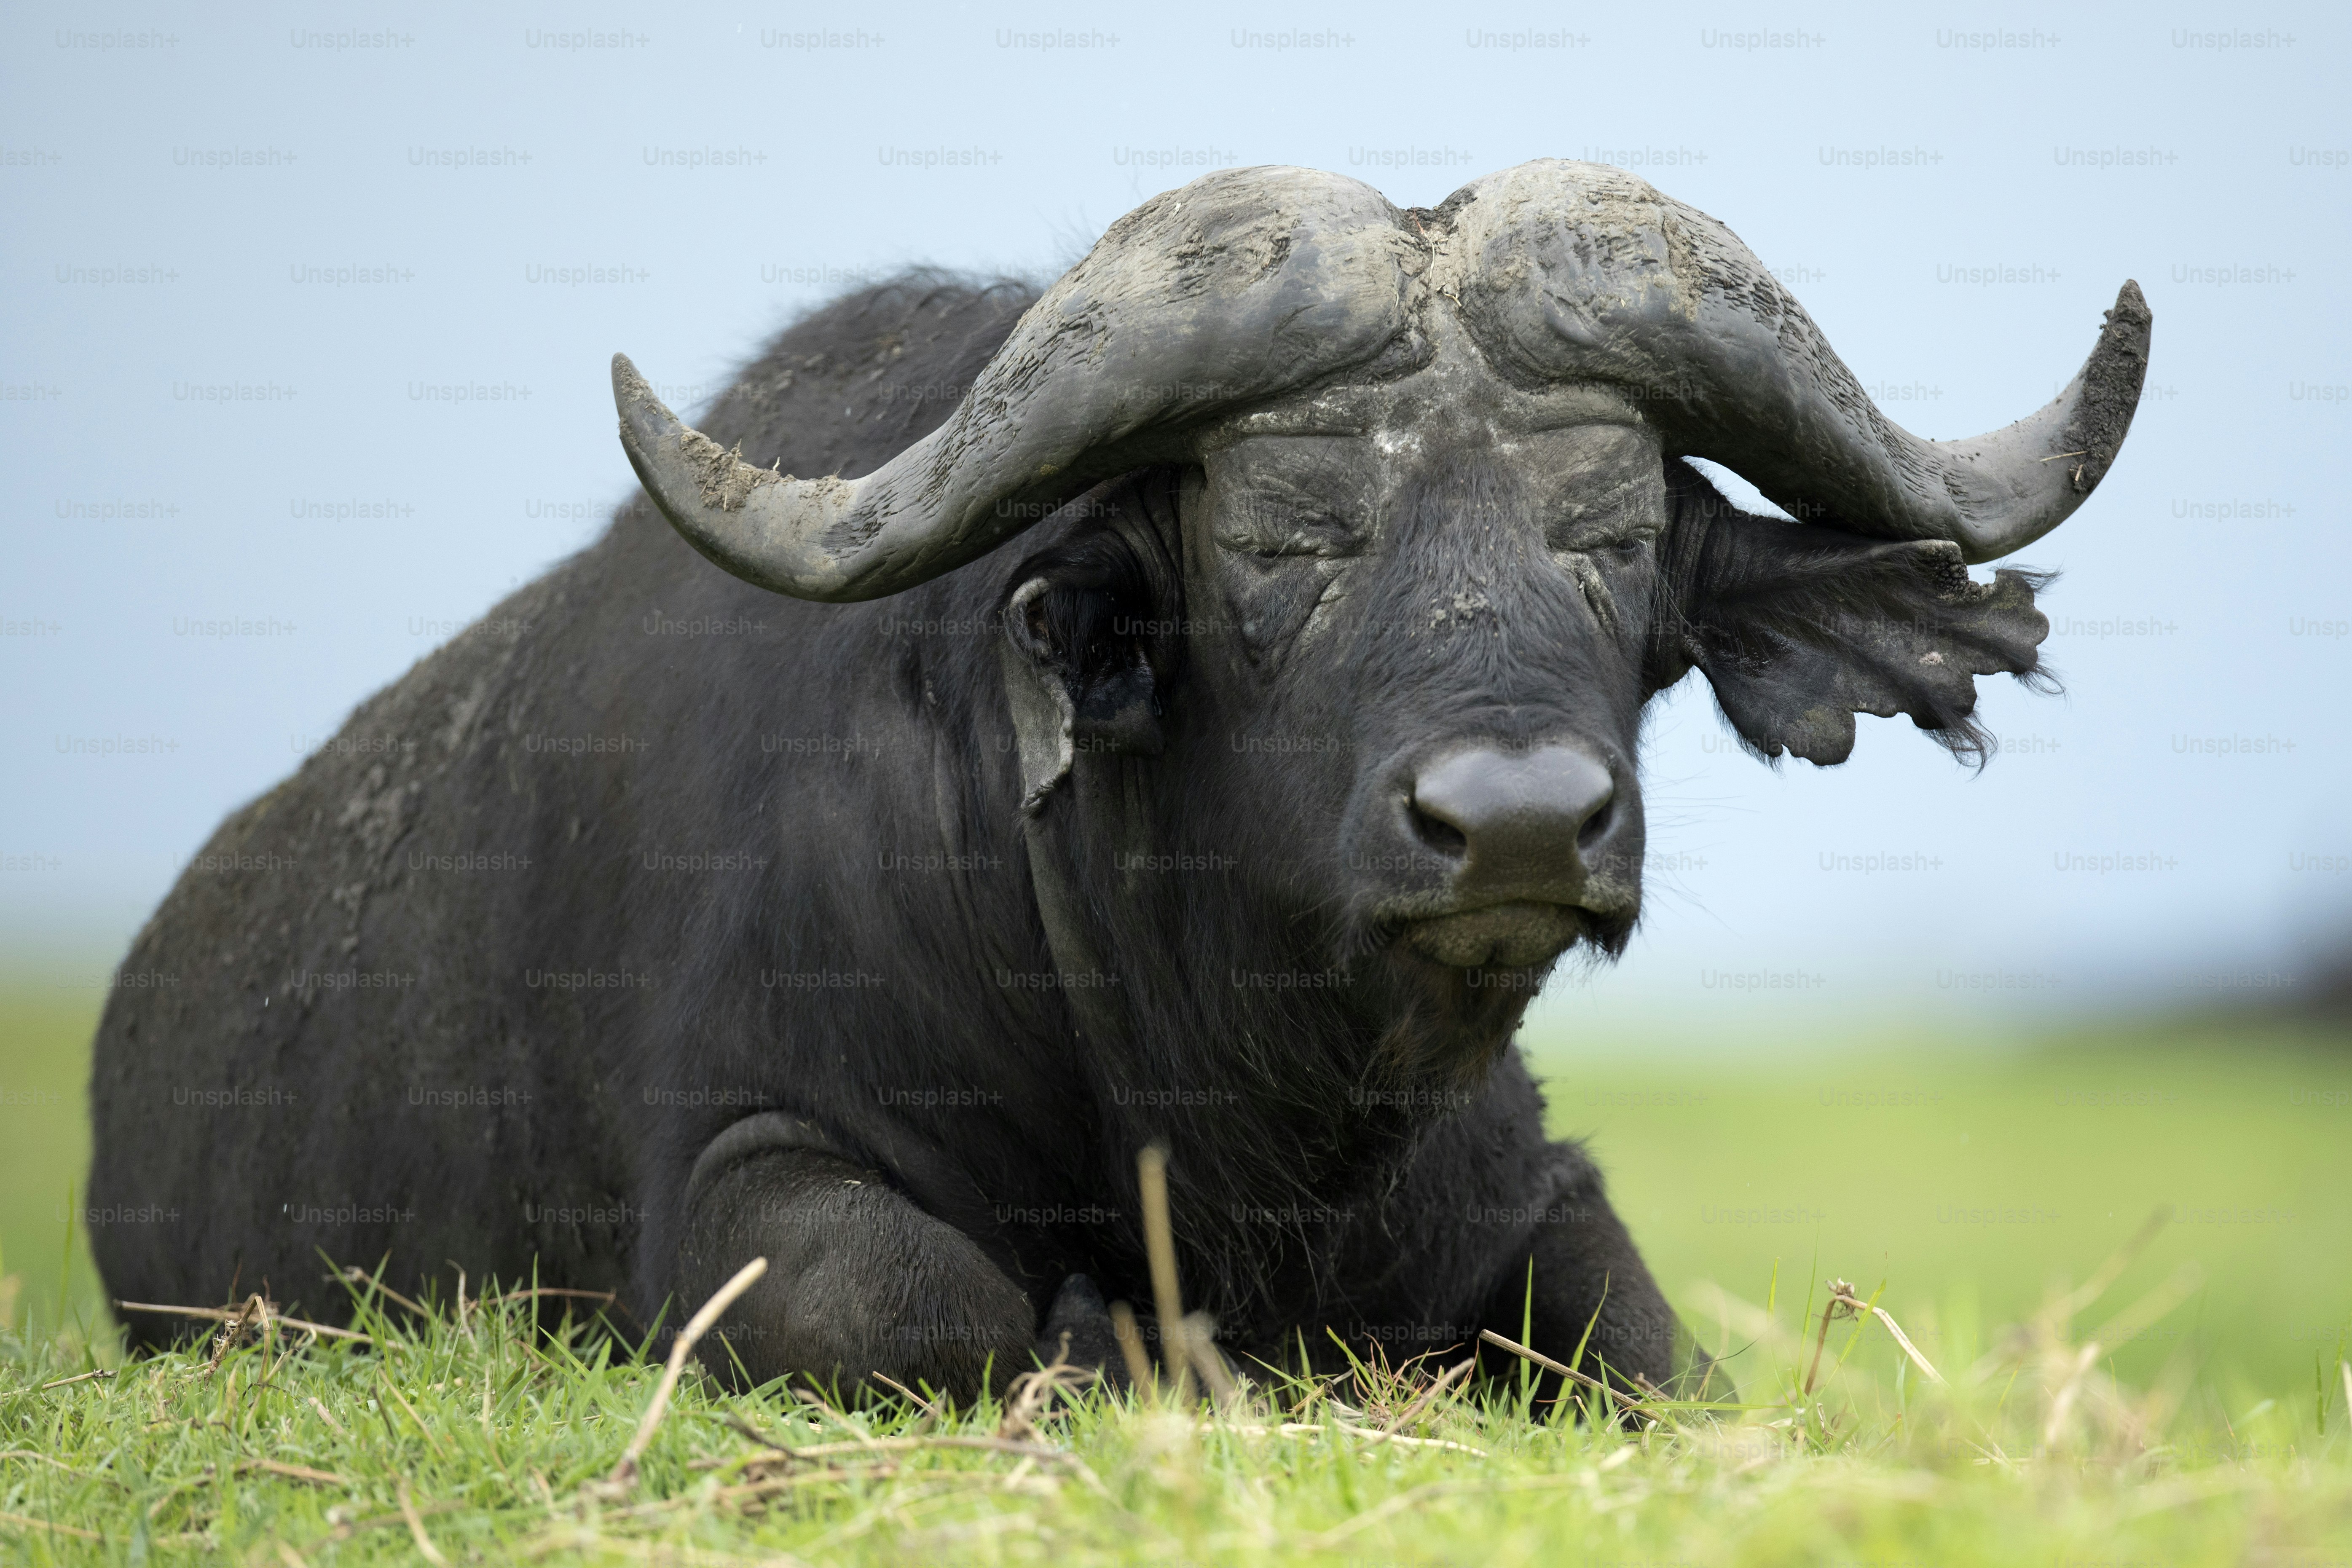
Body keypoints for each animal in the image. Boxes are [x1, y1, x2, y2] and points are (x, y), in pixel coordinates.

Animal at [88, 160, 2148, 1399]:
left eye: (1622, 534)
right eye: (1282, 542)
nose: (1514, 823)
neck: (1237, 1113)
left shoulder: (1527, 1190)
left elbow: (1644, 1345)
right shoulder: (734, 1185)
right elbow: (922, 1301)